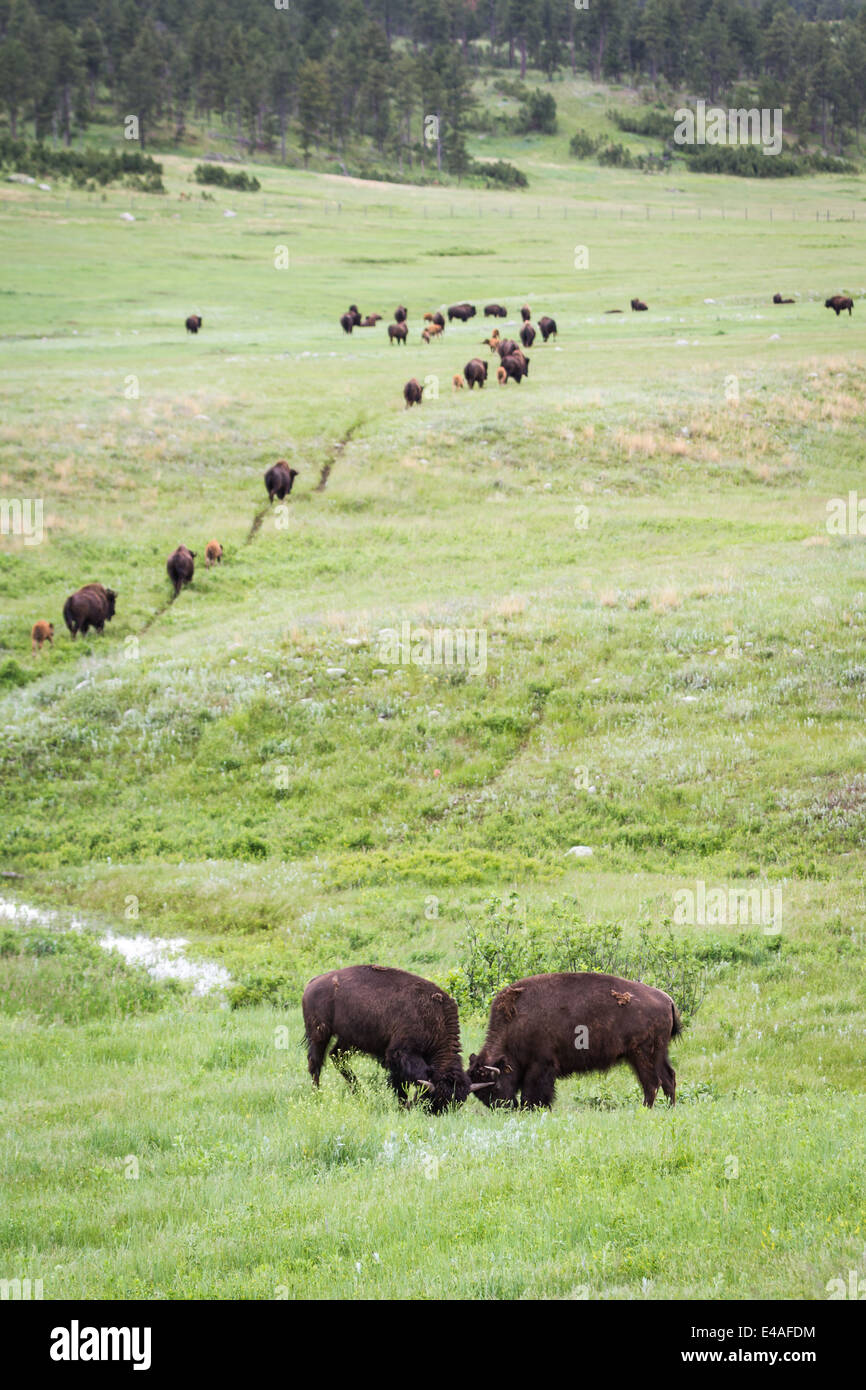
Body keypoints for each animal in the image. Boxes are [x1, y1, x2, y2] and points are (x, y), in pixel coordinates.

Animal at [302, 964, 484, 1113]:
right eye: (437, 1098)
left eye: (459, 1102)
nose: (434, 1114)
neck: (436, 1018)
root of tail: (312, 983)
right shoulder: (400, 1054)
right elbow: (405, 1081)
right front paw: (404, 1106)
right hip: (320, 1034)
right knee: (315, 1063)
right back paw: (318, 1096)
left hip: (349, 1039)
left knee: (337, 1057)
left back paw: (362, 1096)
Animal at [468, 971, 682, 1110]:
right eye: (480, 1095)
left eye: (495, 1085)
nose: (503, 1108)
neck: (514, 1022)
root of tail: (667, 999)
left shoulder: (540, 1065)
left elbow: (534, 1092)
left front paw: (532, 1108)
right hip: (657, 1054)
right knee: (668, 1078)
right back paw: (669, 1108)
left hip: (642, 1054)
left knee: (652, 1082)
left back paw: (645, 1109)